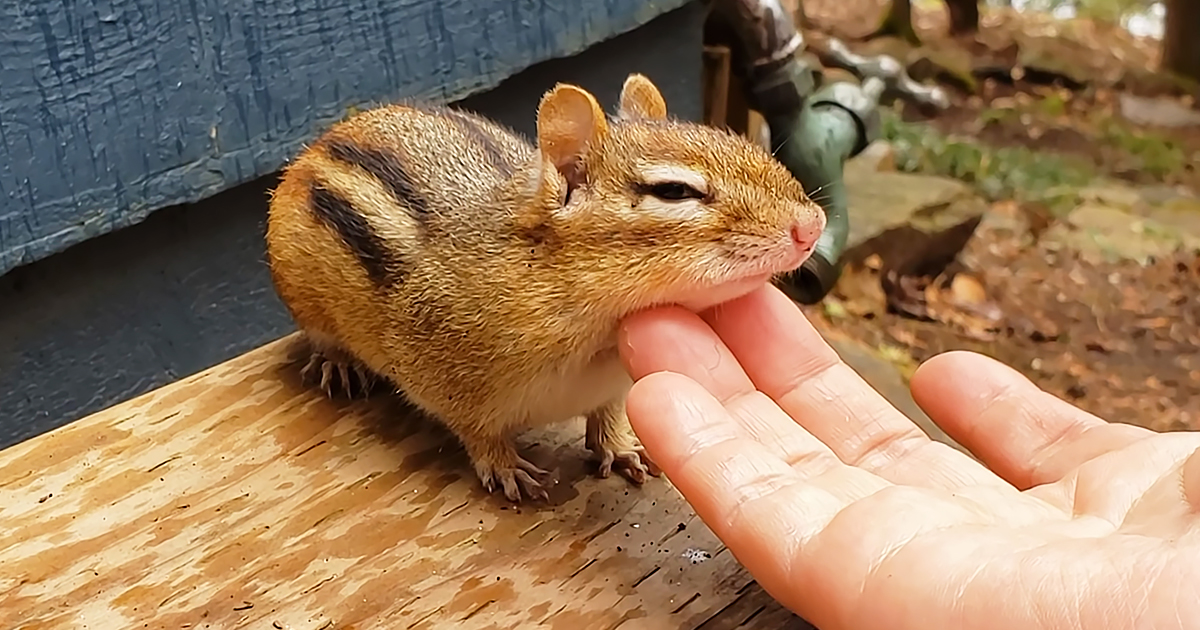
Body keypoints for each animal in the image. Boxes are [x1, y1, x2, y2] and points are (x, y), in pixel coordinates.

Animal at [264, 74, 825, 502]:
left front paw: (620, 445)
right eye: (673, 191)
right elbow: (478, 433)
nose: (812, 225)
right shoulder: (446, 380)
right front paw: (506, 466)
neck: (600, 334)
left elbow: (607, 415)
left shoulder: (611, 385)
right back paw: (339, 363)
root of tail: (320, 142)